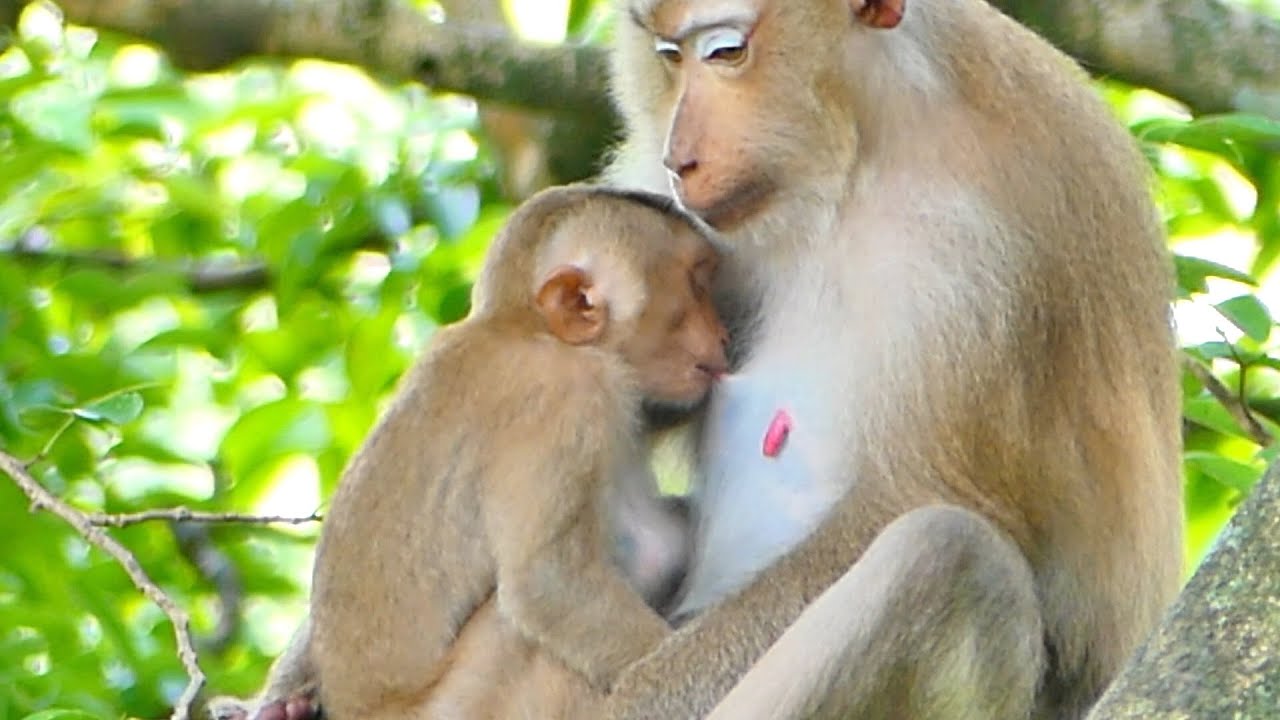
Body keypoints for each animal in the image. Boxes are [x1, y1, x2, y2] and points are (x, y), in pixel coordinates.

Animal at [588, 0, 1184, 718]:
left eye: (726, 51)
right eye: (668, 57)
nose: (681, 159)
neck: (862, 149)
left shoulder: (976, 251)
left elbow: (900, 500)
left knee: (949, 557)